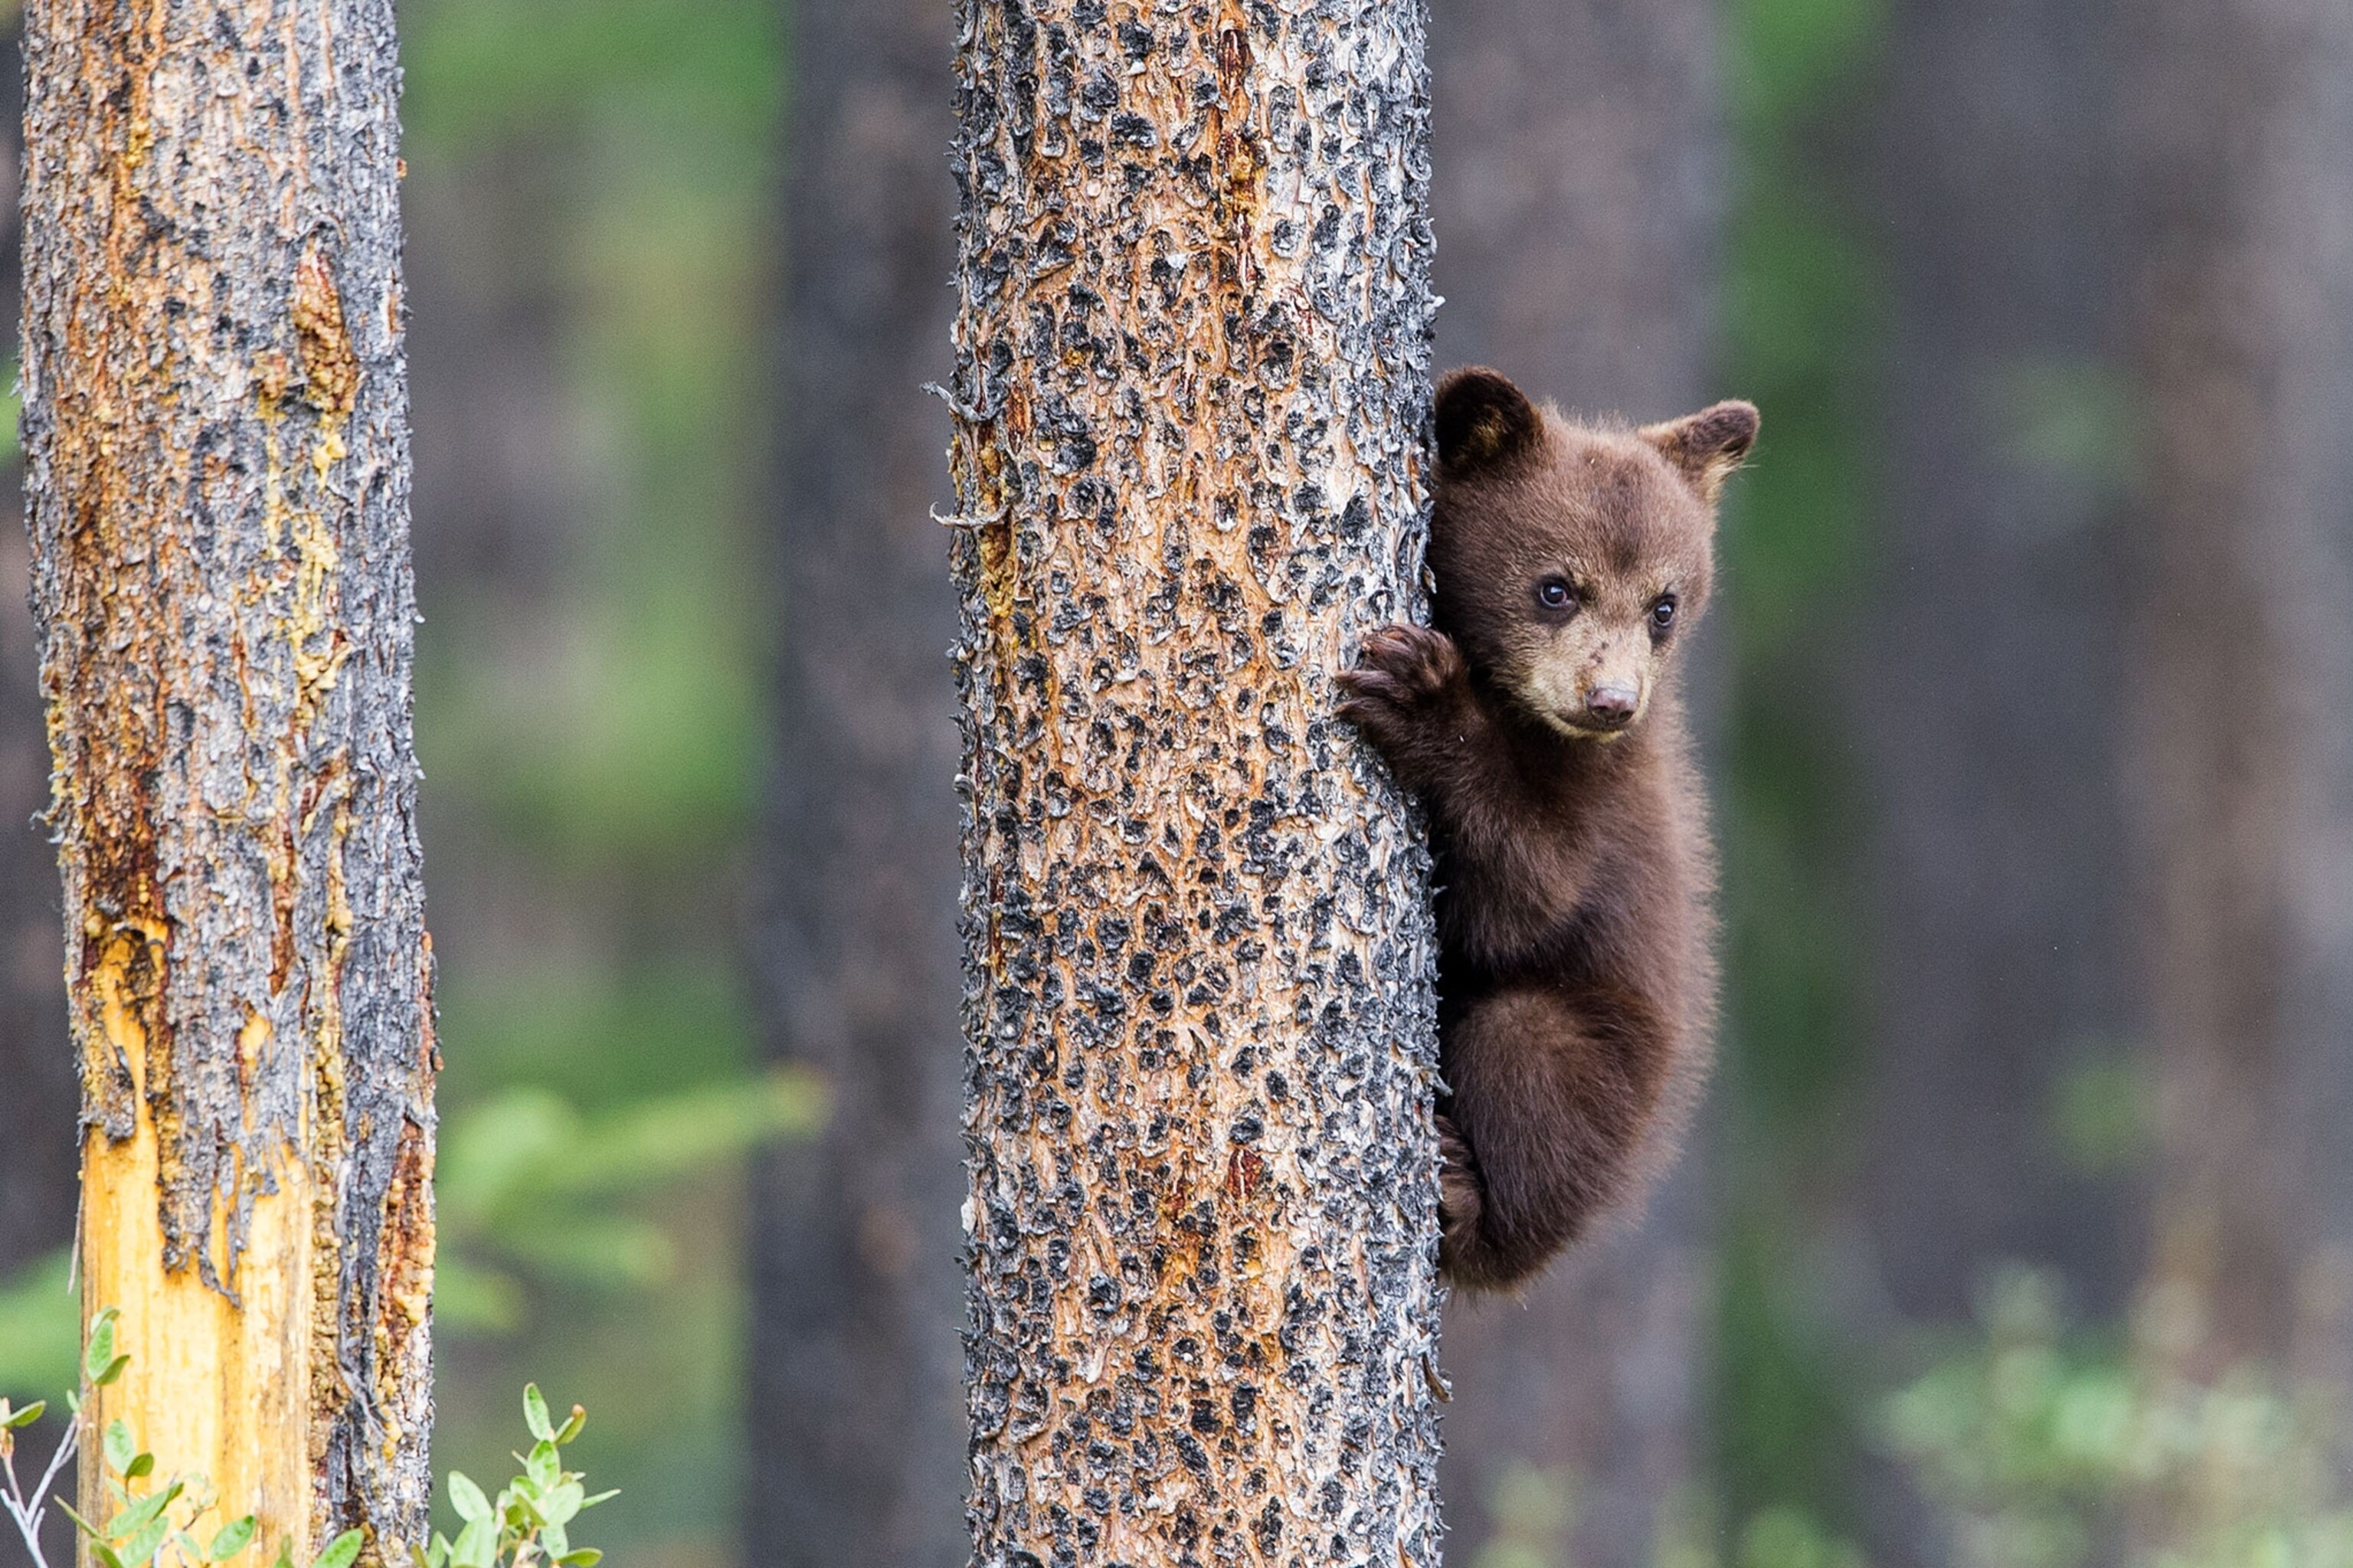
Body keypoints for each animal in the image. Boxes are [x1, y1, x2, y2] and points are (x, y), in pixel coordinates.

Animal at [1337, 367, 1757, 1292]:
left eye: (1665, 605)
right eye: (1555, 587)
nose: (1610, 701)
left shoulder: (1604, 800)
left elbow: (1527, 899)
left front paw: (1424, 698)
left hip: (1603, 1057)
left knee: (1524, 1056)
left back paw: (1467, 1200)